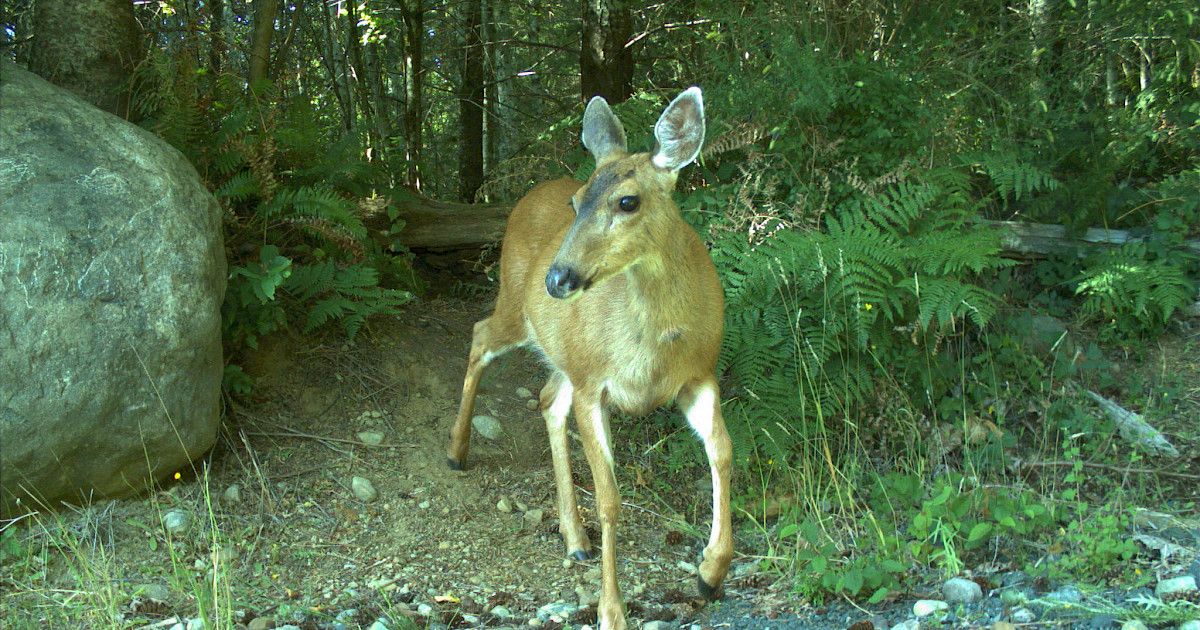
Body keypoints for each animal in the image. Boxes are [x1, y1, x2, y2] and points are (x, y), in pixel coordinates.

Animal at [446, 87, 732, 630]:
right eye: (577, 202)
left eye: (628, 201)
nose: (557, 279)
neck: (653, 346)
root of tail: (525, 198)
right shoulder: (594, 383)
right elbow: (610, 499)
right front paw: (612, 610)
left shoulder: (700, 374)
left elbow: (722, 453)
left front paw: (710, 573)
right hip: (516, 307)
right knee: (478, 335)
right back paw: (456, 452)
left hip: (564, 354)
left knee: (545, 397)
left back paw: (575, 539)